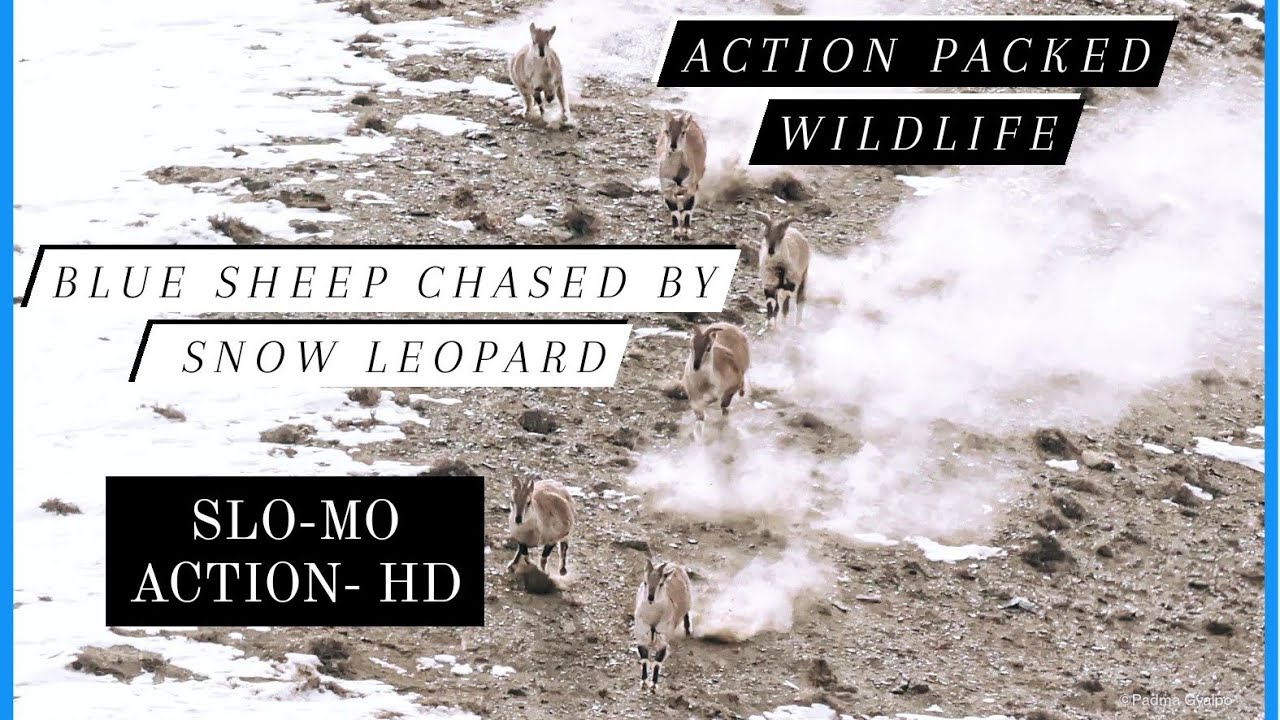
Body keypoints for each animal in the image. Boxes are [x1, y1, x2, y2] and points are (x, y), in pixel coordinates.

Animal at [633, 558, 693, 692]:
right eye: (645, 582)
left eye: (660, 584)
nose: (650, 598)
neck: (653, 618)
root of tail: (674, 564)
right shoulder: (642, 635)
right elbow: (644, 658)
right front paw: (644, 682)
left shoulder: (663, 638)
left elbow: (658, 660)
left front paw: (653, 685)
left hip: (688, 603)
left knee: (686, 614)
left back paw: (688, 630)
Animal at [657, 110, 707, 239]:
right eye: (667, 131)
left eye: (683, 132)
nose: (673, 146)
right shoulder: (667, 187)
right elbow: (674, 210)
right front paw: (675, 231)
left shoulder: (690, 187)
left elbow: (688, 208)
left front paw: (685, 230)